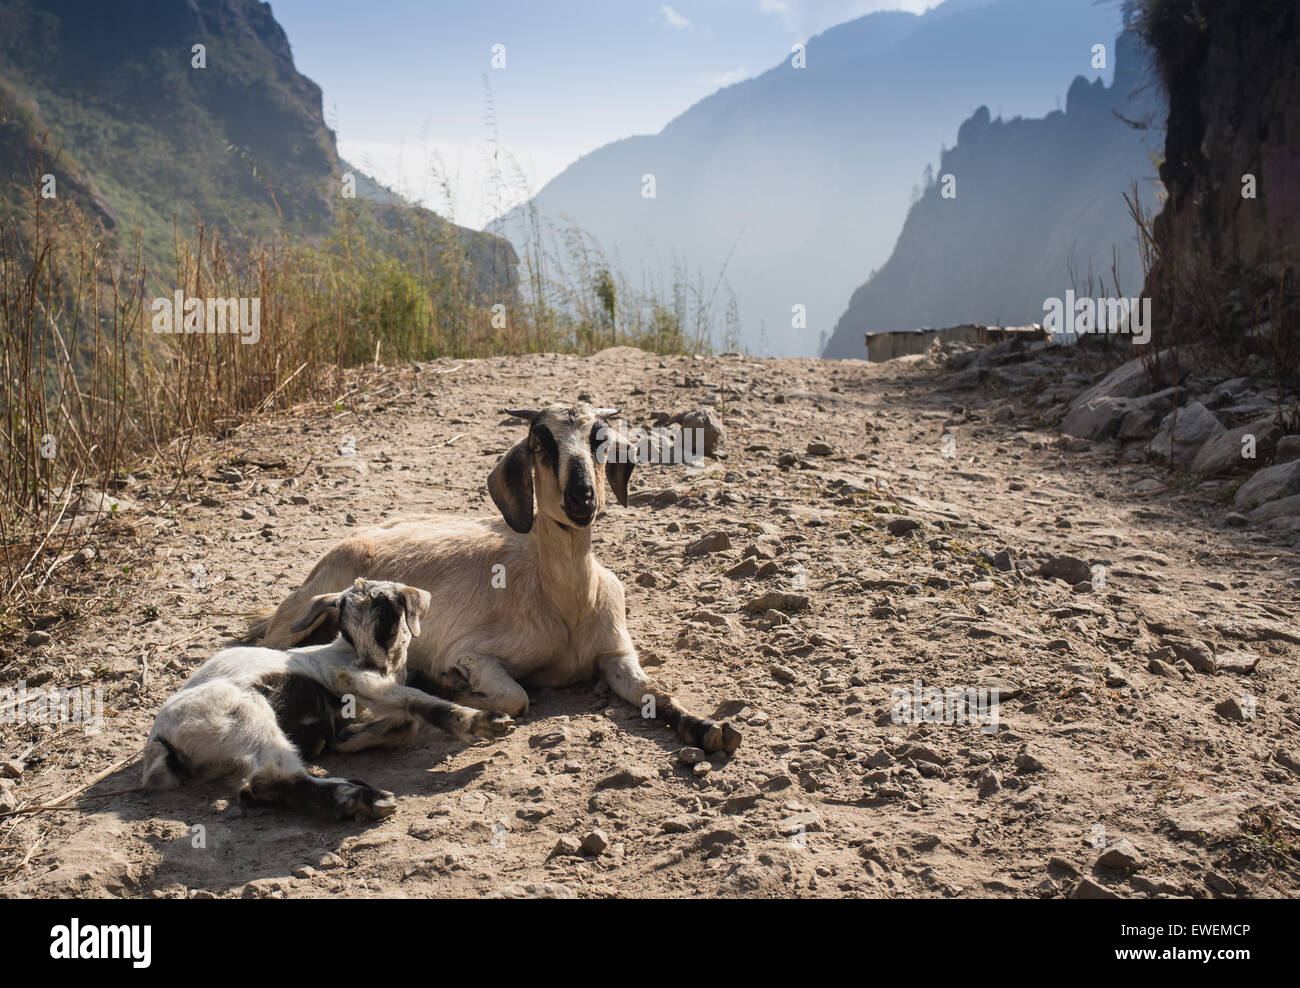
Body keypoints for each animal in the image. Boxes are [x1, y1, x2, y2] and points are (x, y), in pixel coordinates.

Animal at [145, 579, 514, 819]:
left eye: (386, 627)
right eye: (346, 631)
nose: (371, 664)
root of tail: (160, 742)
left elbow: (405, 712)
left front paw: (347, 738)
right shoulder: (350, 678)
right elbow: (414, 703)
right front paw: (485, 721)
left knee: (253, 790)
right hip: (244, 714)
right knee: (273, 775)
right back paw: (364, 798)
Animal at [249, 402, 742, 756]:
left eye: (600, 441)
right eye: (541, 443)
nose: (582, 497)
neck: (567, 605)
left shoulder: (617, 654)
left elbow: (656, 693)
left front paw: (711, 728)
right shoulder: (471, 652)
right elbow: (515, 698)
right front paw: (448, 685)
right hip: (298, 620)